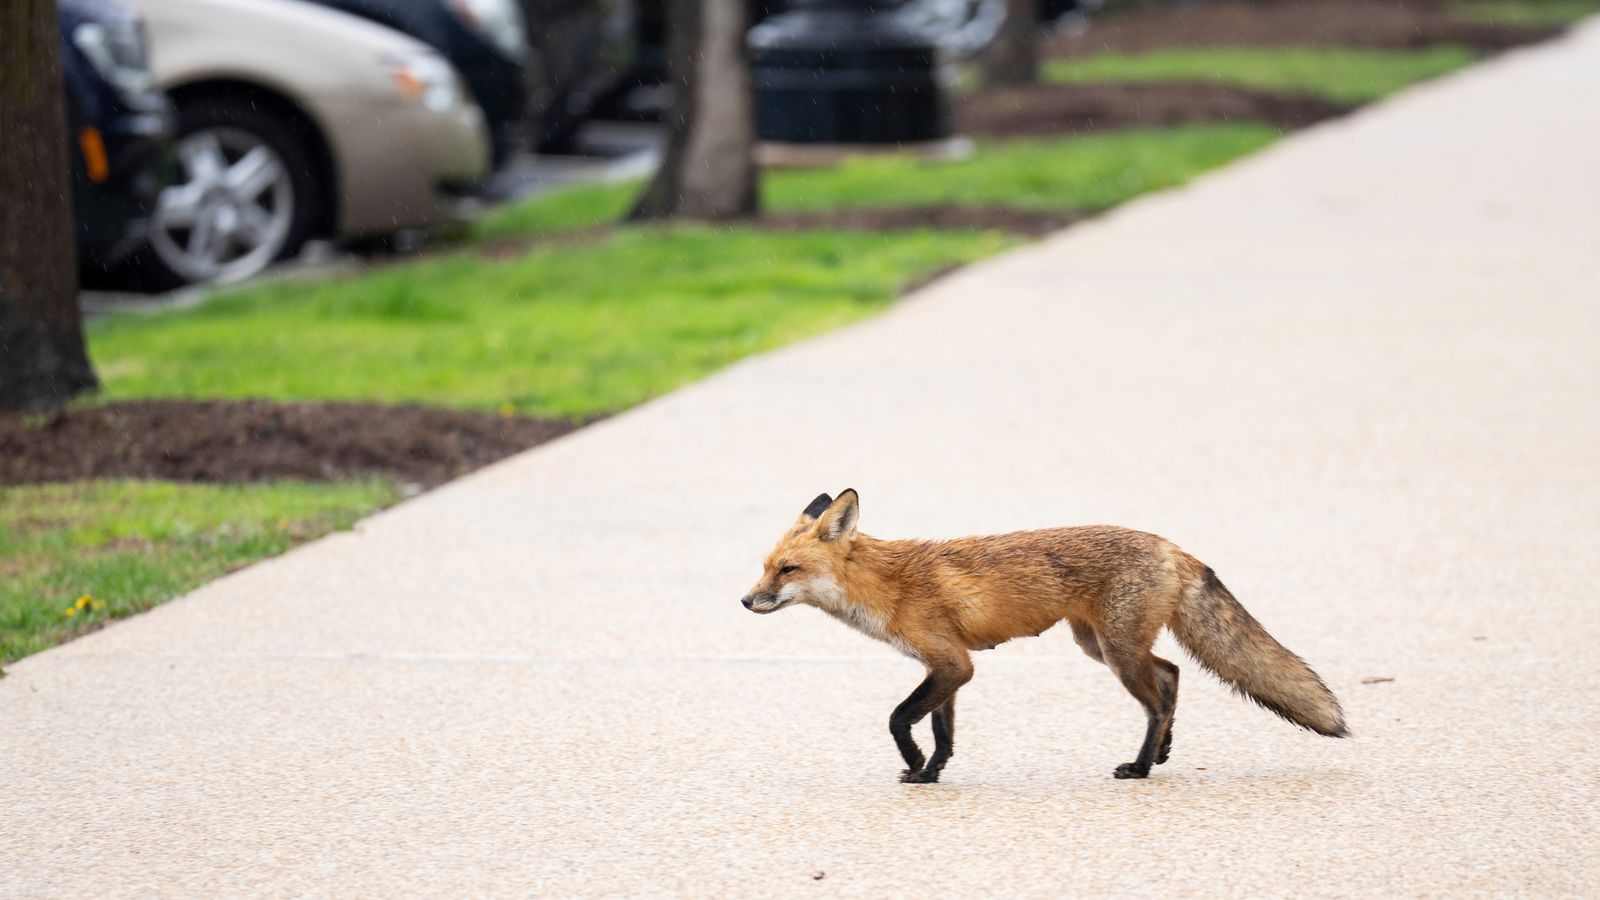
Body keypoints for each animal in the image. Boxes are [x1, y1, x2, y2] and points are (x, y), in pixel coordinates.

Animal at [740, 490, 1348, 783]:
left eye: (787, 570)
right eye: (765, 567)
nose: (746, 601)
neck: (887, 584)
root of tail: (1173, 546)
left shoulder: (951, 663)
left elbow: (898, 719)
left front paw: (915, 766)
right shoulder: (947, 667)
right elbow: (943, 732)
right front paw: (931, 773)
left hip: (1116, 653)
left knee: (1157, 698)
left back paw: (1141, 766)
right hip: (1099, 646)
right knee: (1172, 675)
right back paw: (1162, 752)